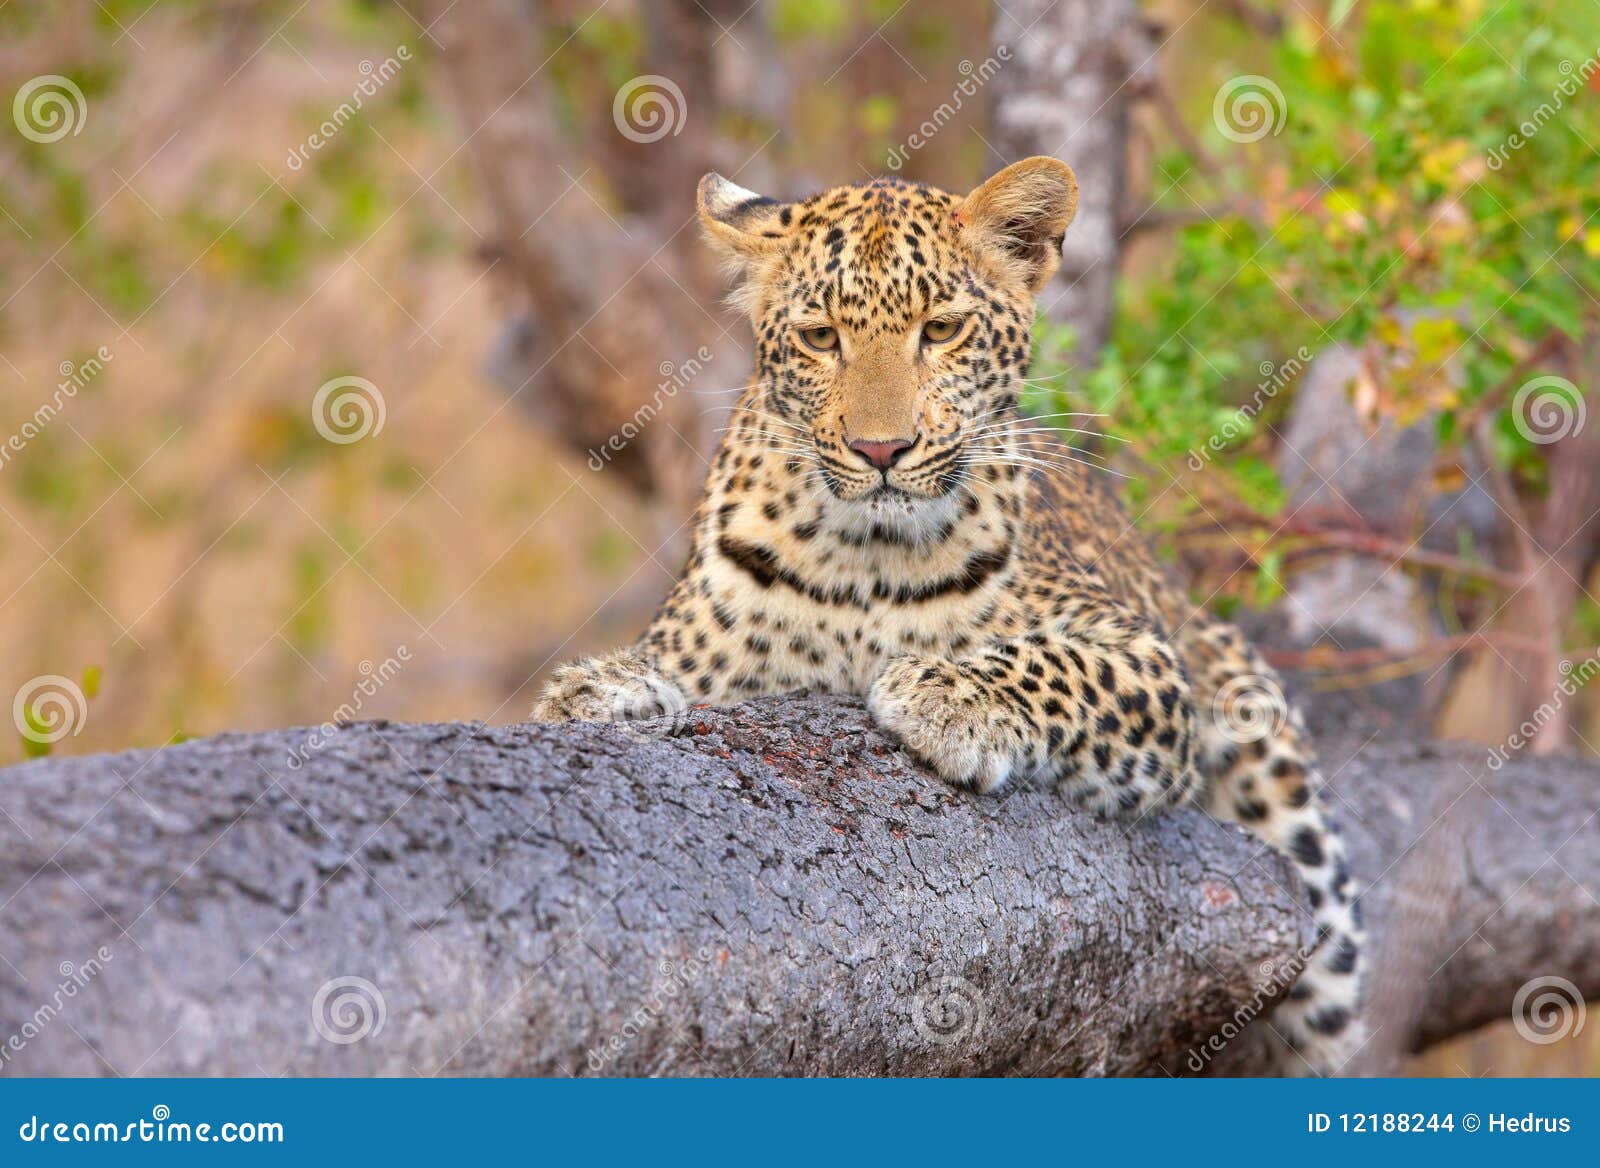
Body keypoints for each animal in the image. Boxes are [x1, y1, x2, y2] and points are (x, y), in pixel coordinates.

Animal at [532, 157, 1364, 1076]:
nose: (881, 450)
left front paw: (947, 698)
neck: (865, 556)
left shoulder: (1147, 659)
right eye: (820, 338)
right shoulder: (704, 645)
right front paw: (601, 689)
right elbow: (671, 671)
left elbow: (1055, 664)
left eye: (942, 329)